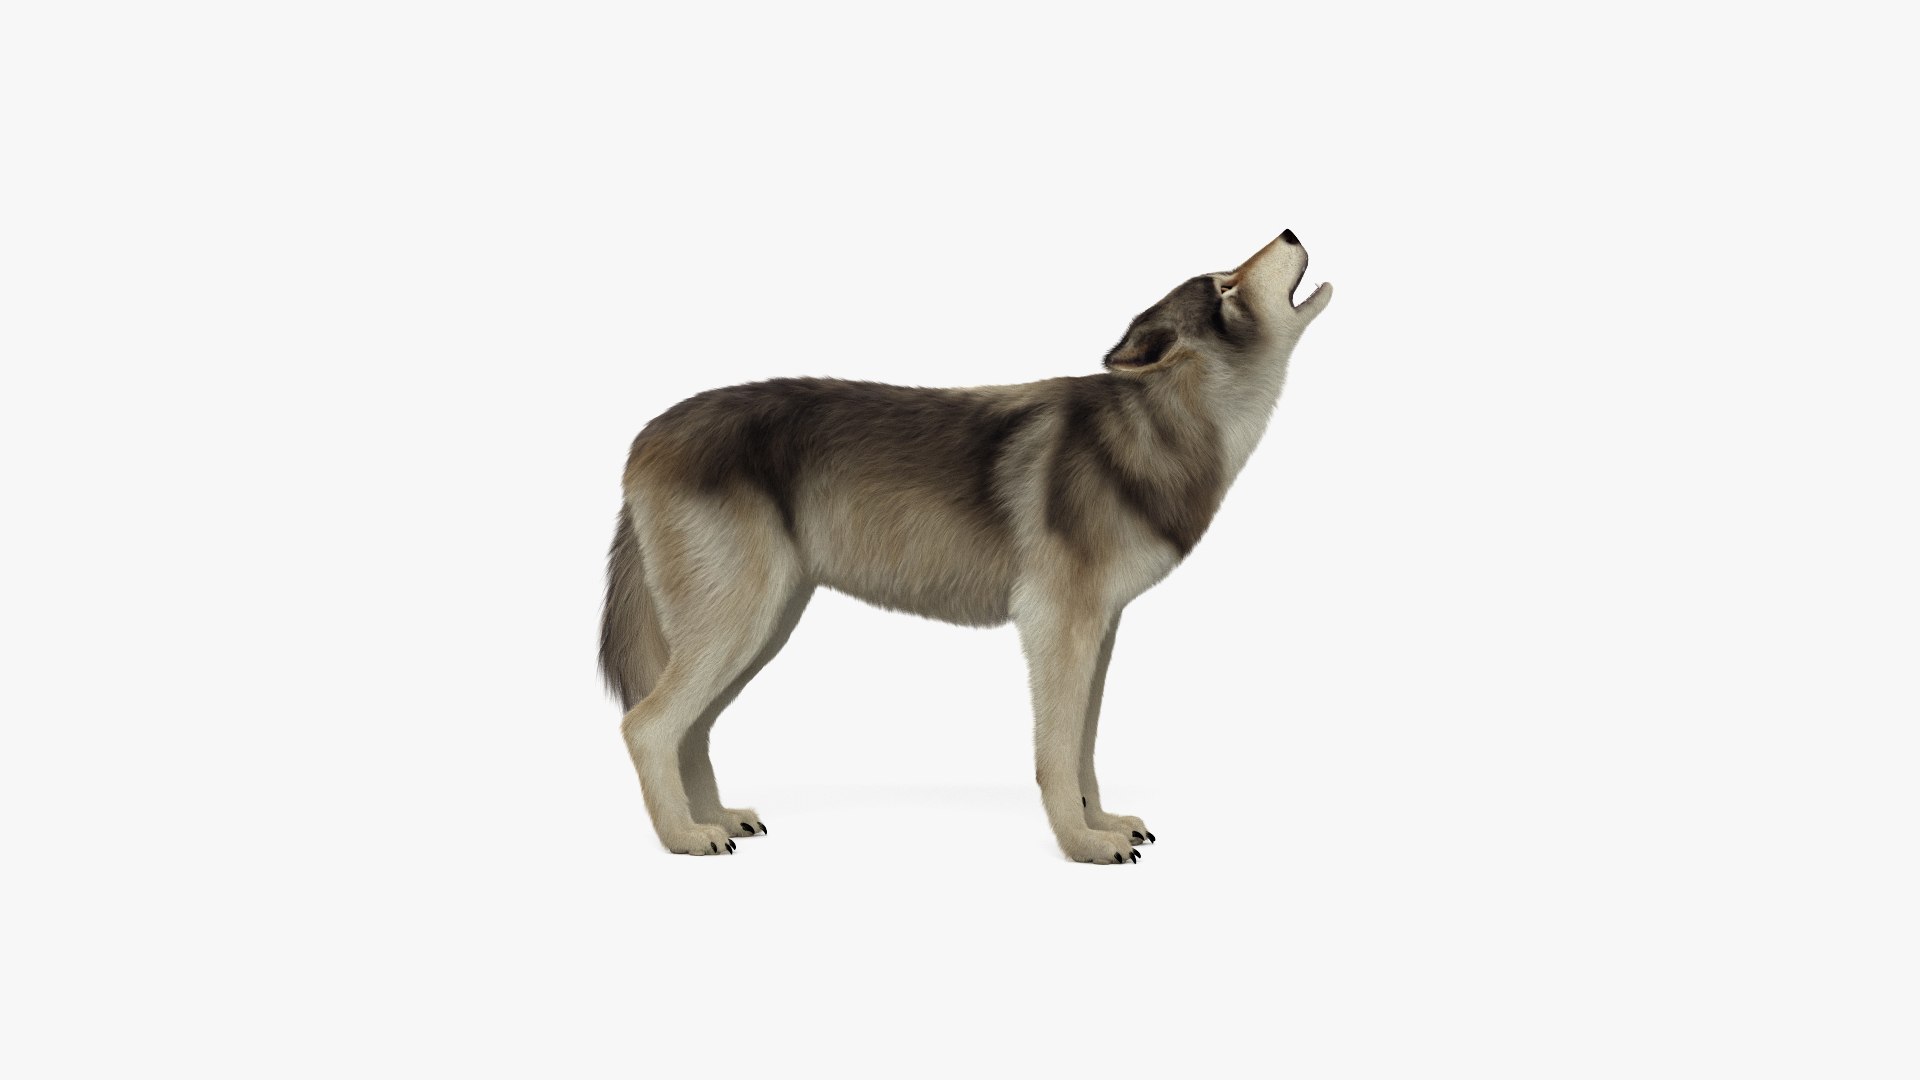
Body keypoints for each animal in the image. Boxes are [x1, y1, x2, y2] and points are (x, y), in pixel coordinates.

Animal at [600, 229, 1332, 862]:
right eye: (1224, 287)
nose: (1291, 231)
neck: (1158, 427)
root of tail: (644, 437)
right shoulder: (1058, 628)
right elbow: (1057, 754)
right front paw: (1084, 846)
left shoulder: (1100, 631)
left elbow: (1085, 747)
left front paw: (1102, 823)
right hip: (741, 625)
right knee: (646, 726)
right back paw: (685, 838)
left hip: (763, 629)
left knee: (692, 729)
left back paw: (716, 820)